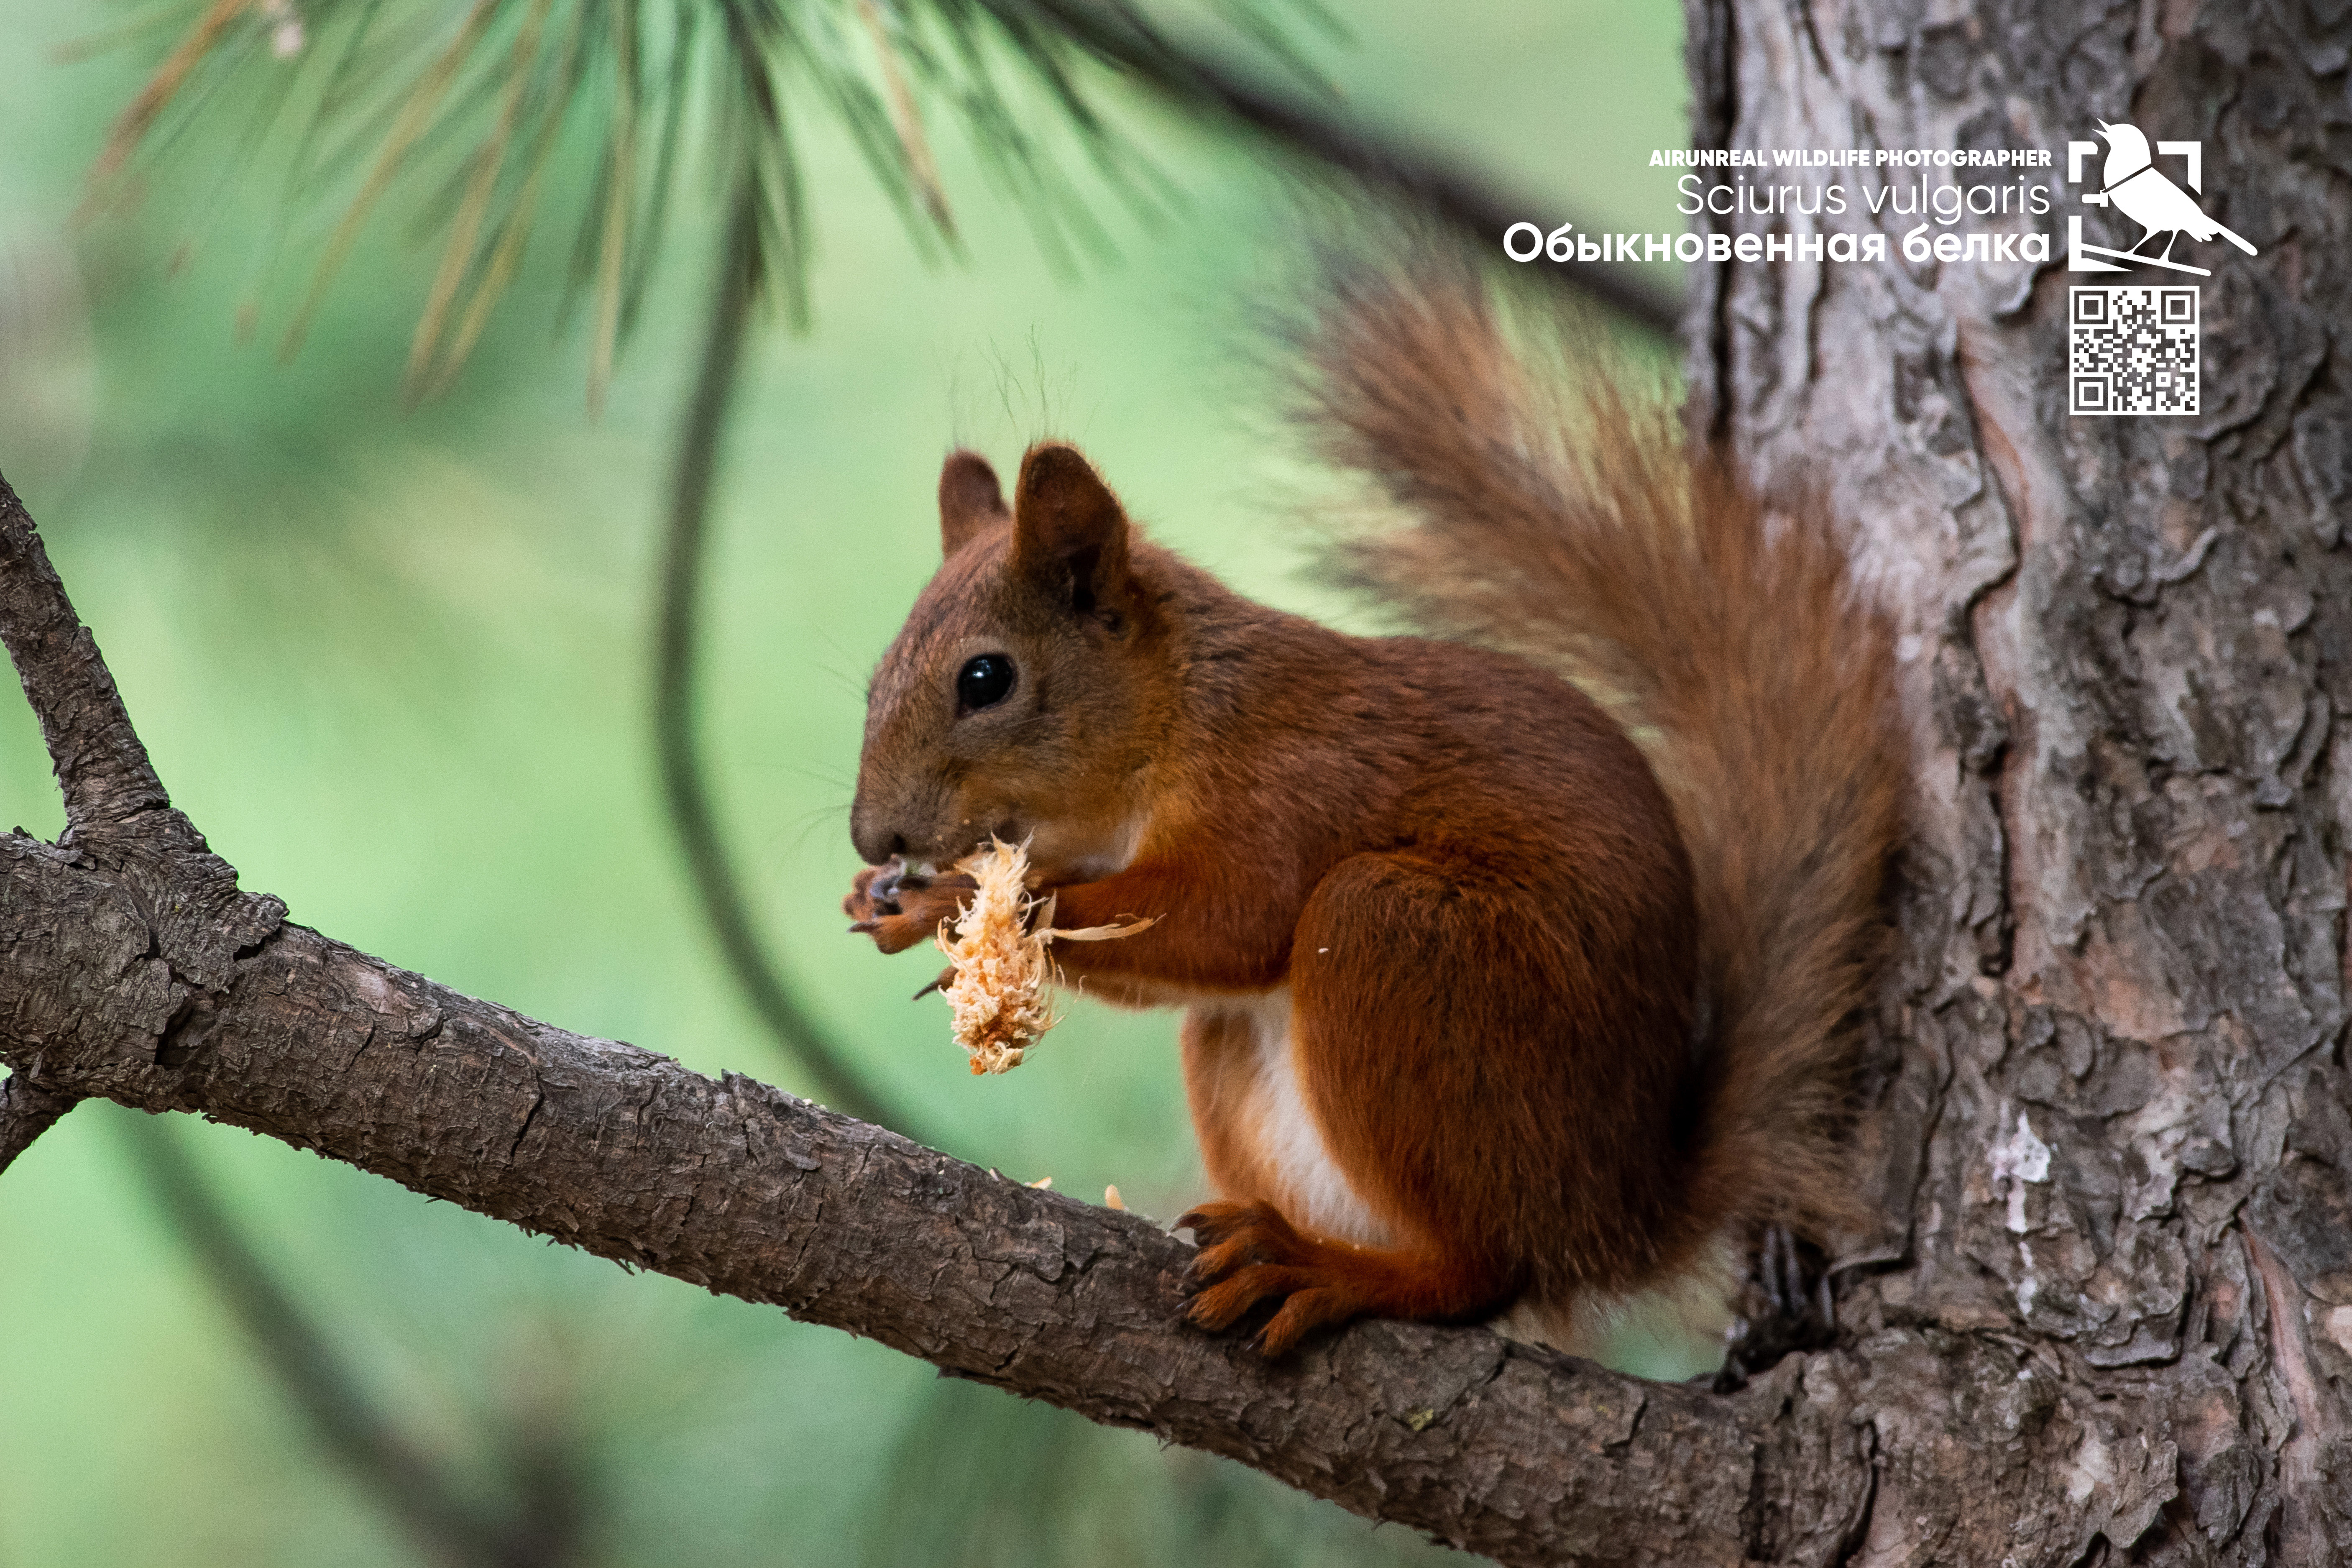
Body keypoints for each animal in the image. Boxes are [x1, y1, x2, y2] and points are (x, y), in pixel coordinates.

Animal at [837, 261, 1900, 1363]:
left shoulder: (1289, 782)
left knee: (1478, 1271)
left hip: (1402, 940)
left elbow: (1235, 915)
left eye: (986, 679)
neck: (1178, 713)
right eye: (877, 678)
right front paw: (887, 902)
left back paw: (1326, 1268)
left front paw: (958, 902)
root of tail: (1613, 1217)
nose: (875, 836)